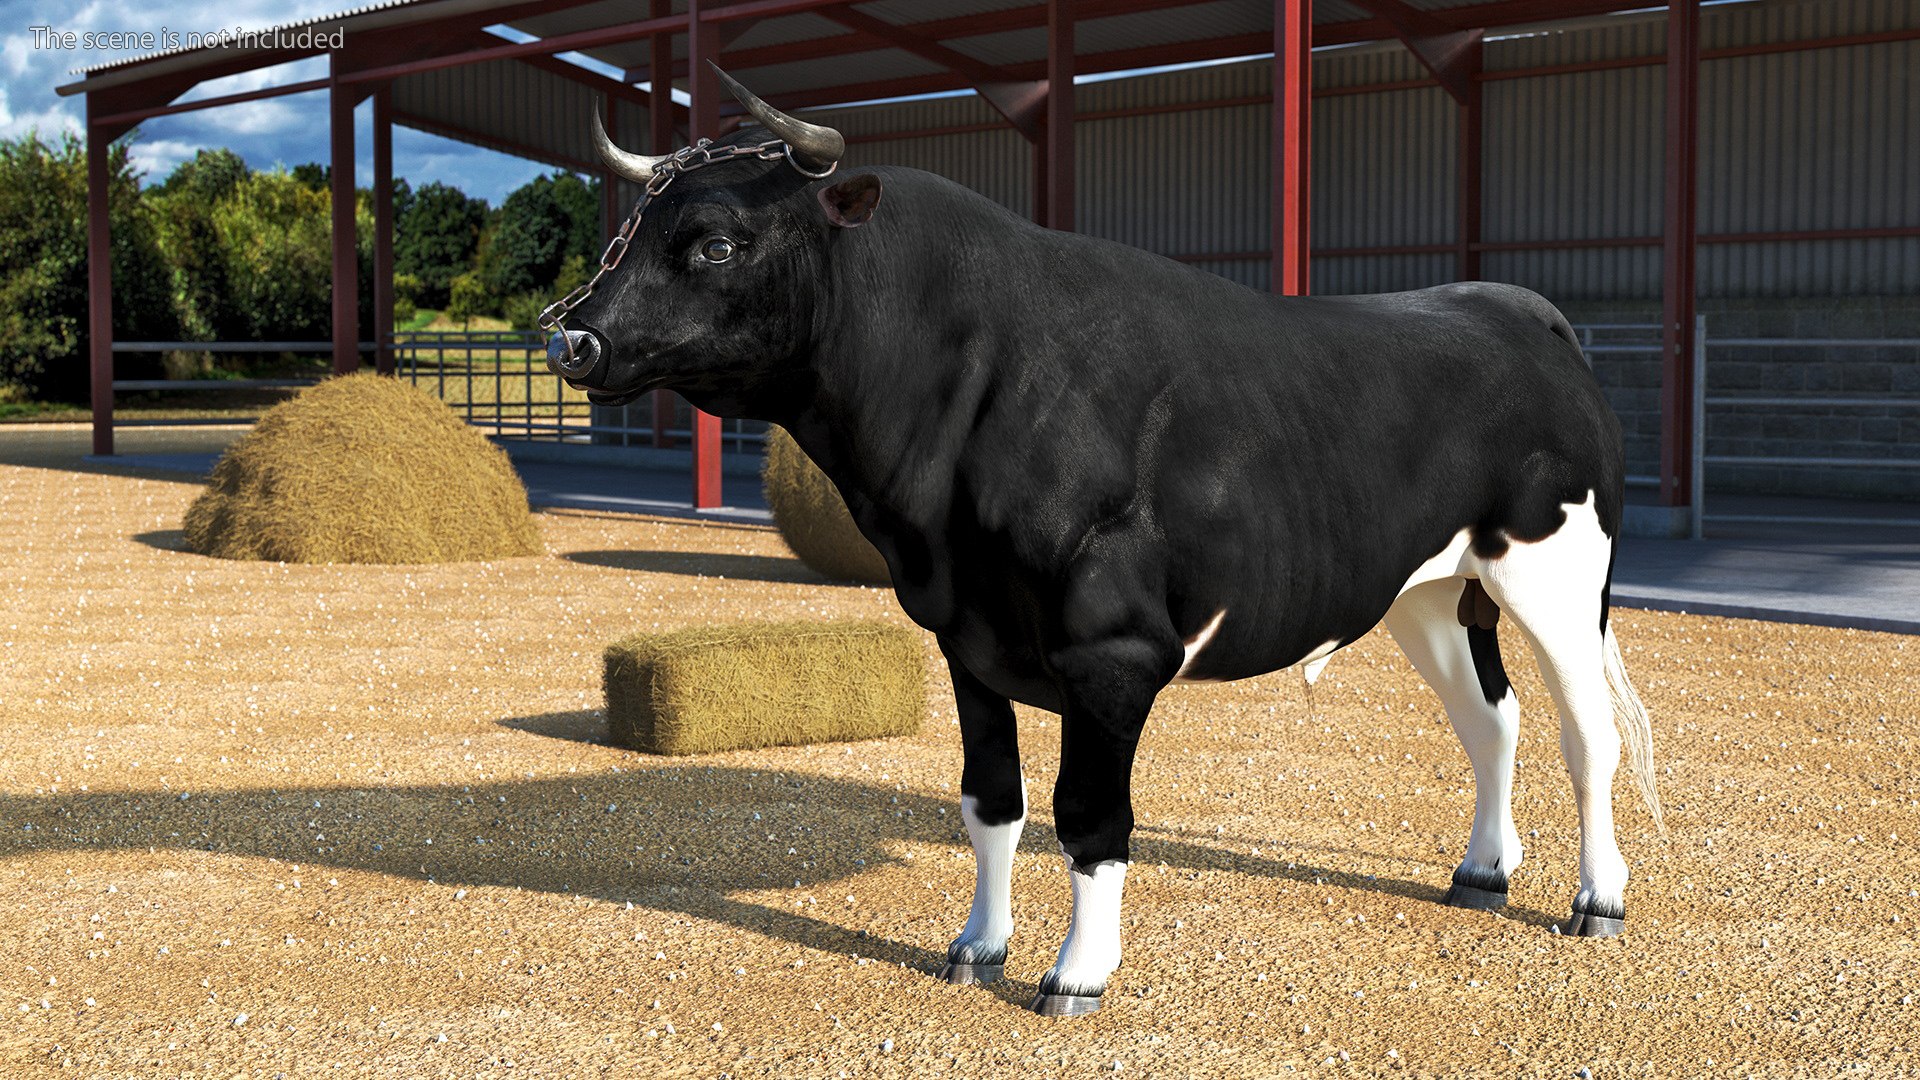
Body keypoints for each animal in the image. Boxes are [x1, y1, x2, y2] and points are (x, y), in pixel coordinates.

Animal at [545, 67, 1665, 1017]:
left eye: (717, 243)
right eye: (633, 227)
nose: (571, 335)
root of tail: (1506, 302)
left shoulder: (1111, 650)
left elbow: (1088, 816)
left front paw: (1076, 974)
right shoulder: (968, 637)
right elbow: (990, 802)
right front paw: (975, 948)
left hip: (1558, 573)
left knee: (1586, 734)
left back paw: (1598, 900)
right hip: (1429, 587)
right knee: (1491, 721)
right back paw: (1480, 875)